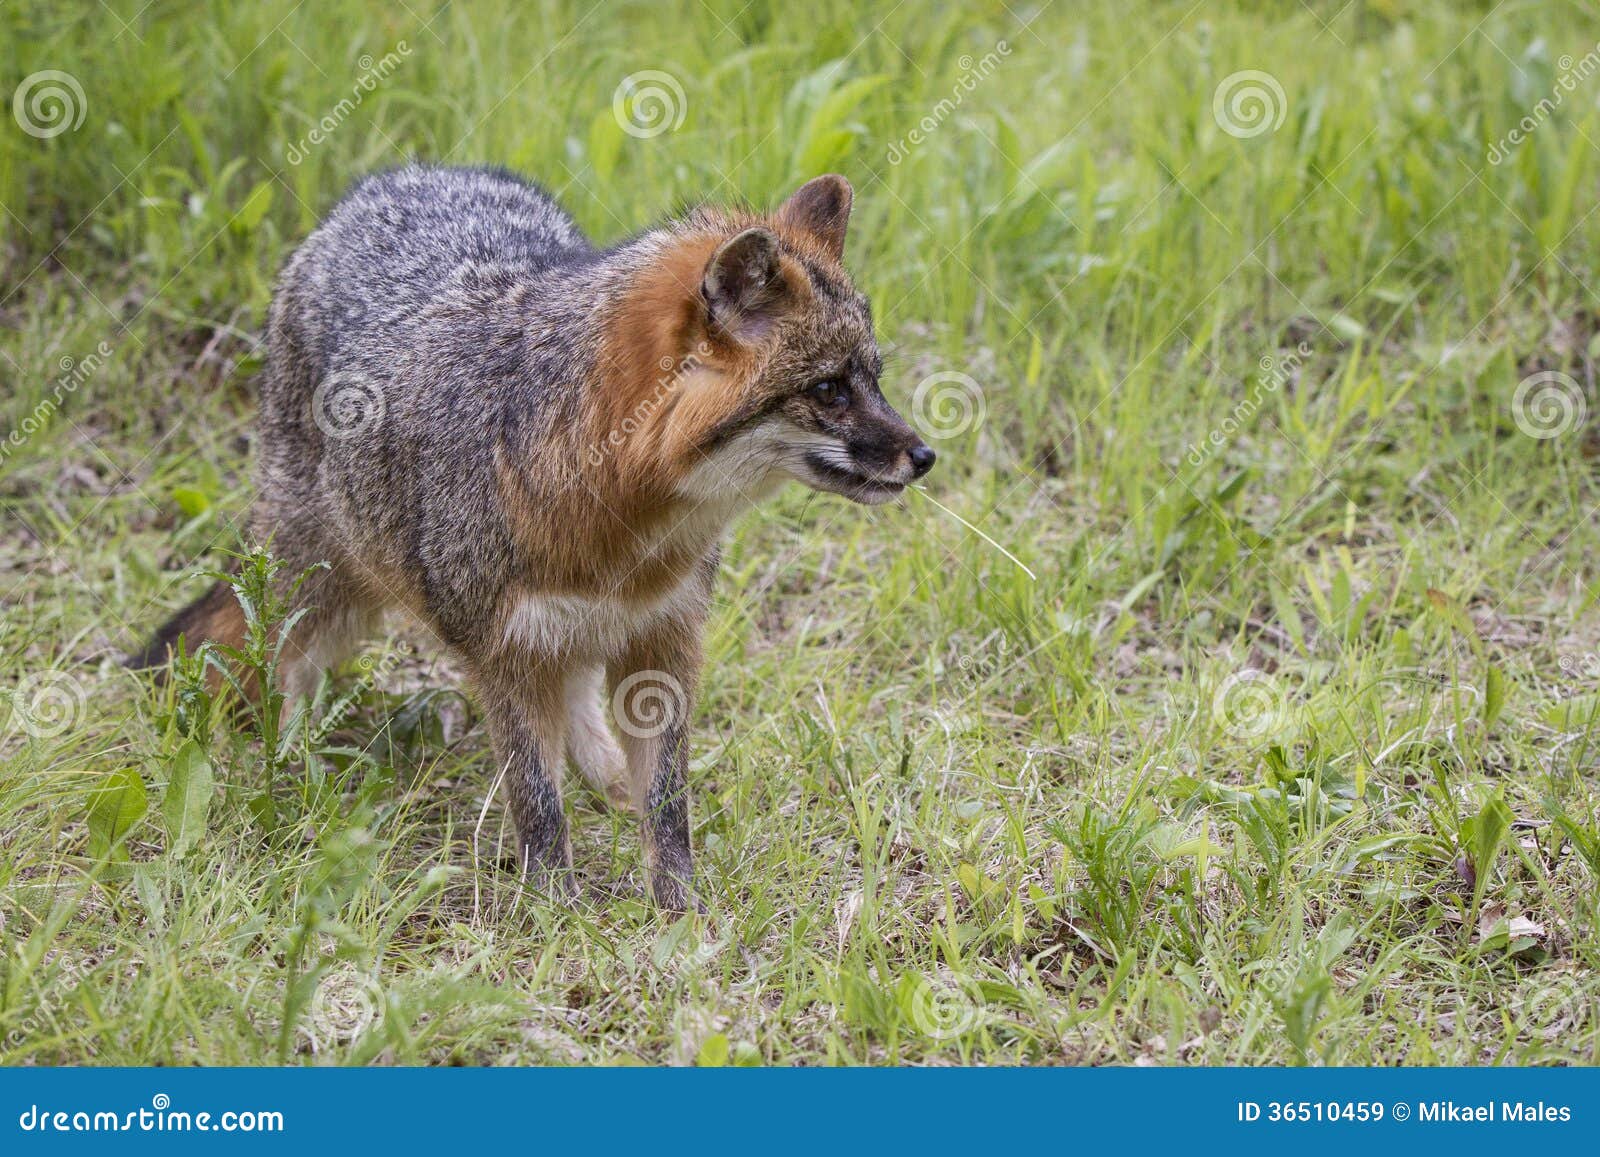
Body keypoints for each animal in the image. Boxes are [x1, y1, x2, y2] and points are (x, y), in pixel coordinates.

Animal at [131, 164, 935, 911]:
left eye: (874, 379)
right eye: (829, 390)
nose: (925, 456)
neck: (623, 527)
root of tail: (401, 176)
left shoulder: (664, 637)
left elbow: (668, 802)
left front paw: (680, 904)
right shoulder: (506, 654)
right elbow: (536, 800)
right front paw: (557, 908)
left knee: (578, 694)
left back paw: (605, 775)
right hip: (317, 580)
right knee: (284, 667)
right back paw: (293, 768)